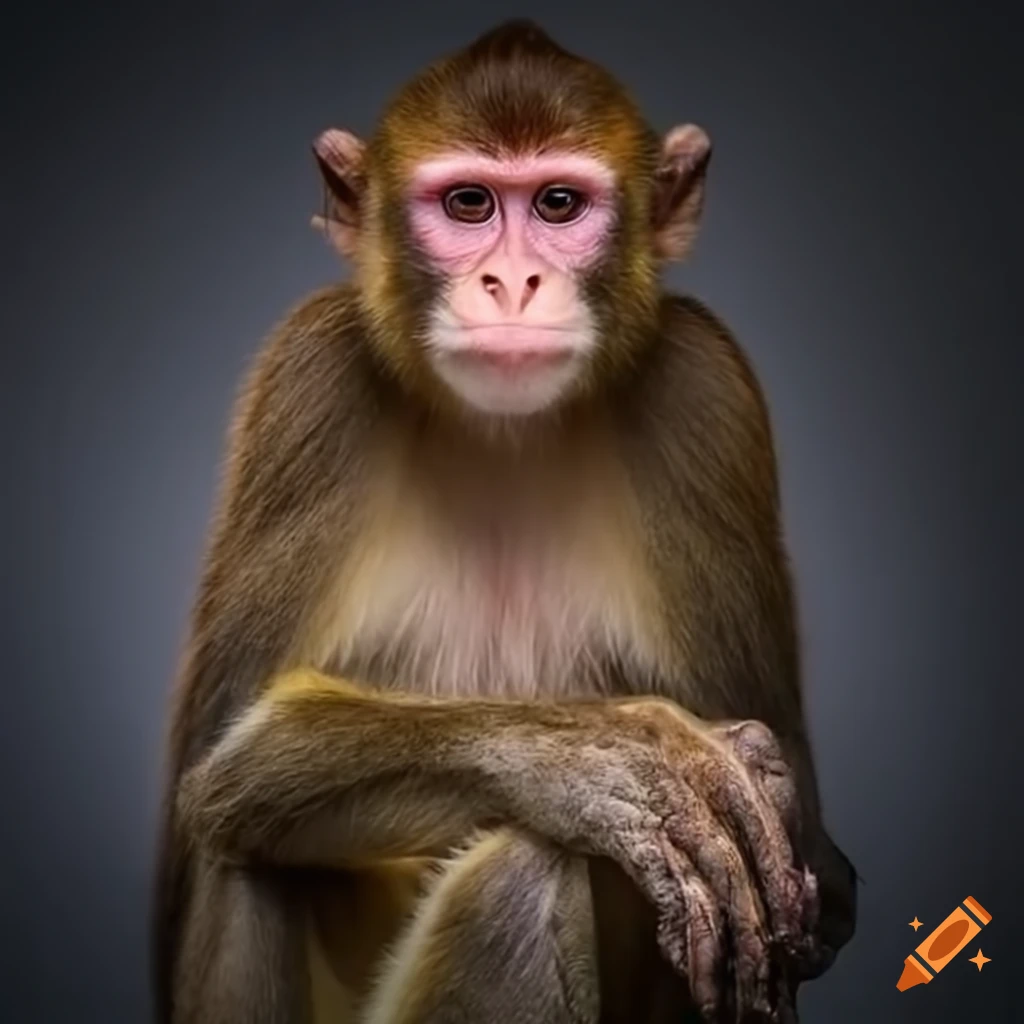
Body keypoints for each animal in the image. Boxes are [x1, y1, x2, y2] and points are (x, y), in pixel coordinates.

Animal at [153, 18, 857, 1024]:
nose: (513, 280)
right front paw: (608, 759)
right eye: (469, 203)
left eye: (559, 204)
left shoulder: (705, 390)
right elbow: (223, 762)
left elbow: (819, 890)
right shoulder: (312, 378)